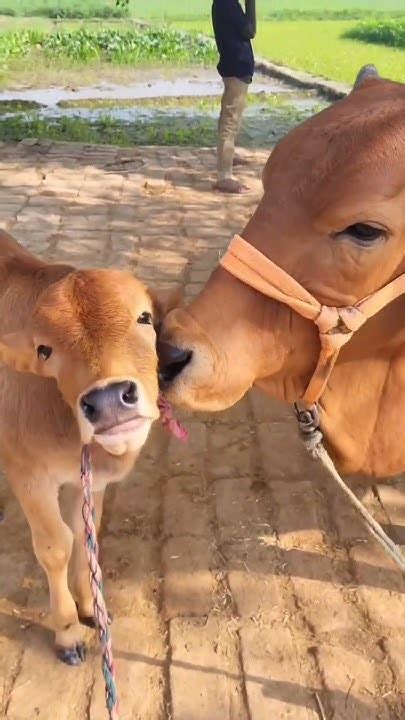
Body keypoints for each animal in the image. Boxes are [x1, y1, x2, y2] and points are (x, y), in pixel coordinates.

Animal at [0, 228, 176, 665]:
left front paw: (89, 608)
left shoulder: (90, 480)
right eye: (44, 349)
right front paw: (66, 631)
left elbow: (84, 533)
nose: (109, 399)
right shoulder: (28, 474)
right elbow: (55, 545)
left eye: (144, 318)